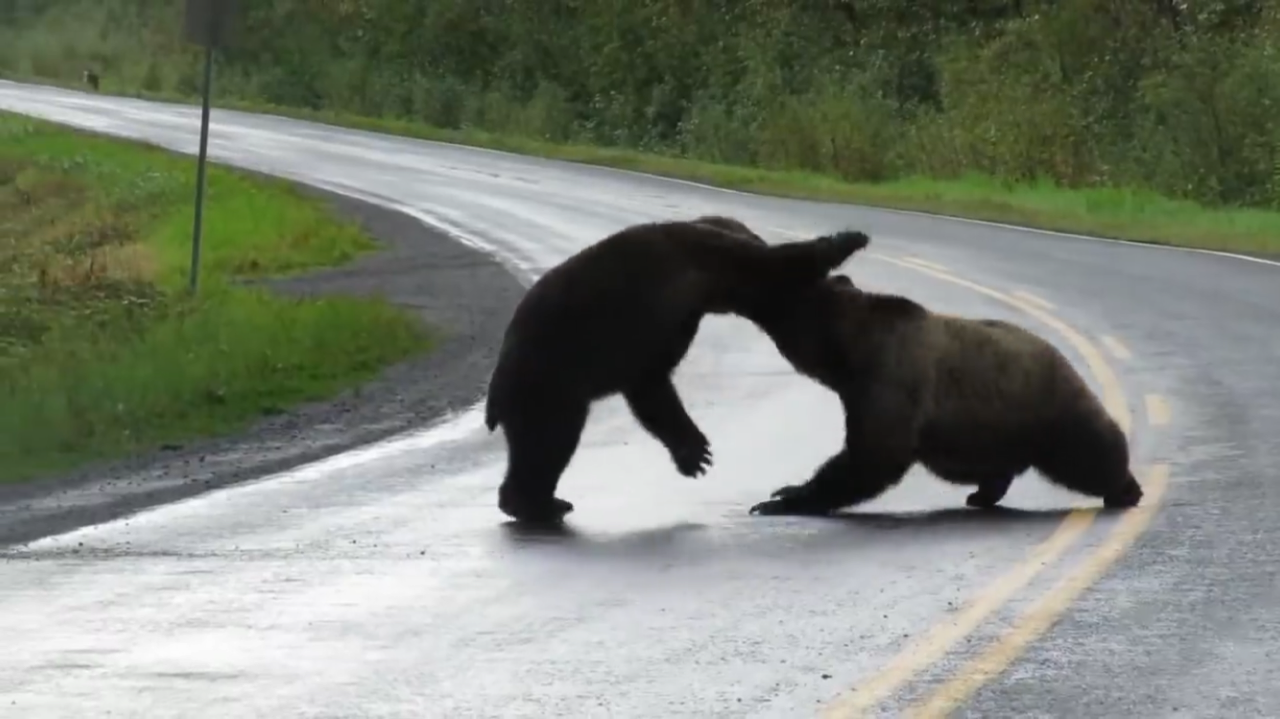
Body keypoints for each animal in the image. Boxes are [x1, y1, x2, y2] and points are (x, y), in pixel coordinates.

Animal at [484, 215, 870, 524]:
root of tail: (496, 385)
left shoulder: (658, 332)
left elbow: (653, 392)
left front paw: (694, 454)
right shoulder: (689, 270)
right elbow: (772, 264)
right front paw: (847, 239)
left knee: (537, 445)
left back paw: (543, 501)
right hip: (550, 380)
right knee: (549, 441)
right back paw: (537, 504)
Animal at [732, 240, 1144, 517]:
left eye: (783, 294)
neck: (850, 353)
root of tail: (1064, 357)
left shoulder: (891, 379)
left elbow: (875, 452)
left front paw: (784, 499)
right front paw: (787, 491)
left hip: (1049, 410)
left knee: (1089, 453)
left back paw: (1125, 488)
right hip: (998, 430)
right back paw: (983, 494)